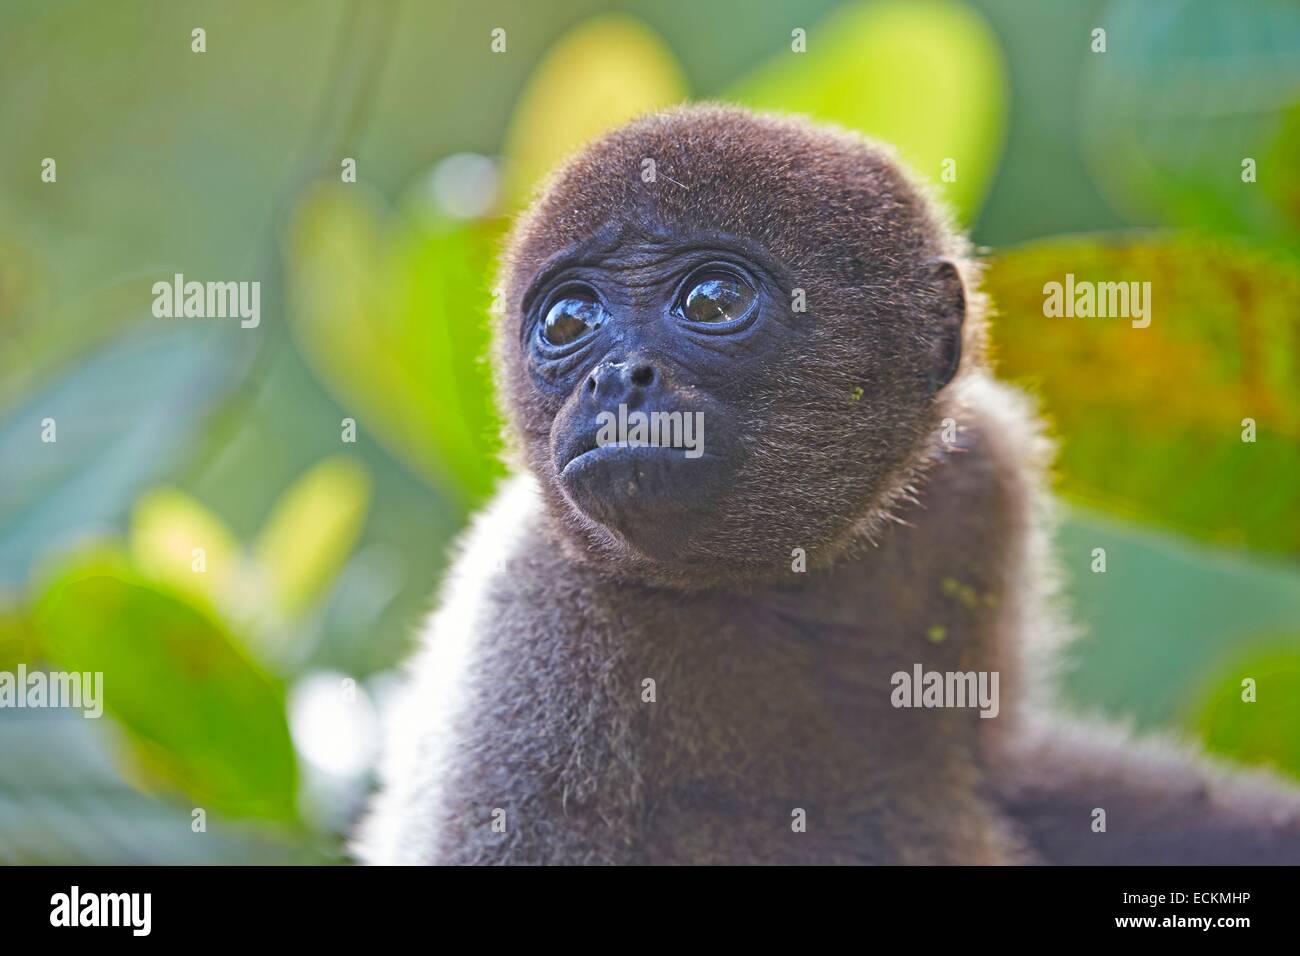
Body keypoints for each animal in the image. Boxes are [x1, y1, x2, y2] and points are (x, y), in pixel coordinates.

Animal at [355, 104, 1300, 865]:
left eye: (711, 298)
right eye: (567, 320)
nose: (616, 377)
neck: (790, 590)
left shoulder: (975, 473)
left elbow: (1011, 769)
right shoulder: (546, 625)